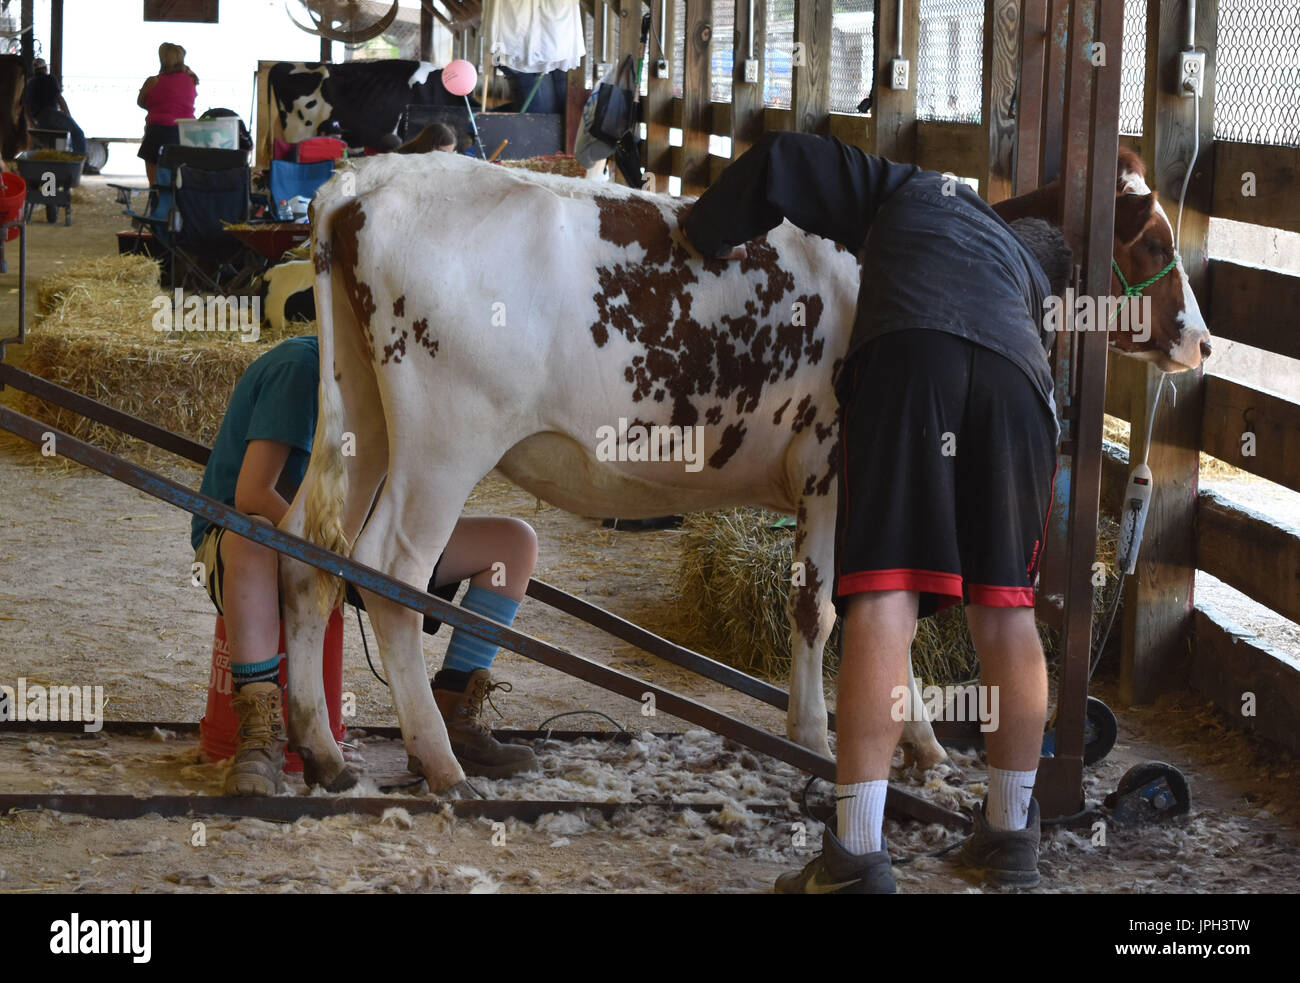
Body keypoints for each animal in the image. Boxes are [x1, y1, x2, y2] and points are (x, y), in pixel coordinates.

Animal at [277, 148, 1210, 794]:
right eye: (1154, 240)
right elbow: (824, 611)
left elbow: (869, 607)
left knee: (306, 551)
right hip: (445, 444)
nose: (1203, 341)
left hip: (360, 426)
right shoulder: (838, 468)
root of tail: (367, 181)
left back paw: (322, 749)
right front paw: (819, 737)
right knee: (390, 573)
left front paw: (912, 740)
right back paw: (439, 759)